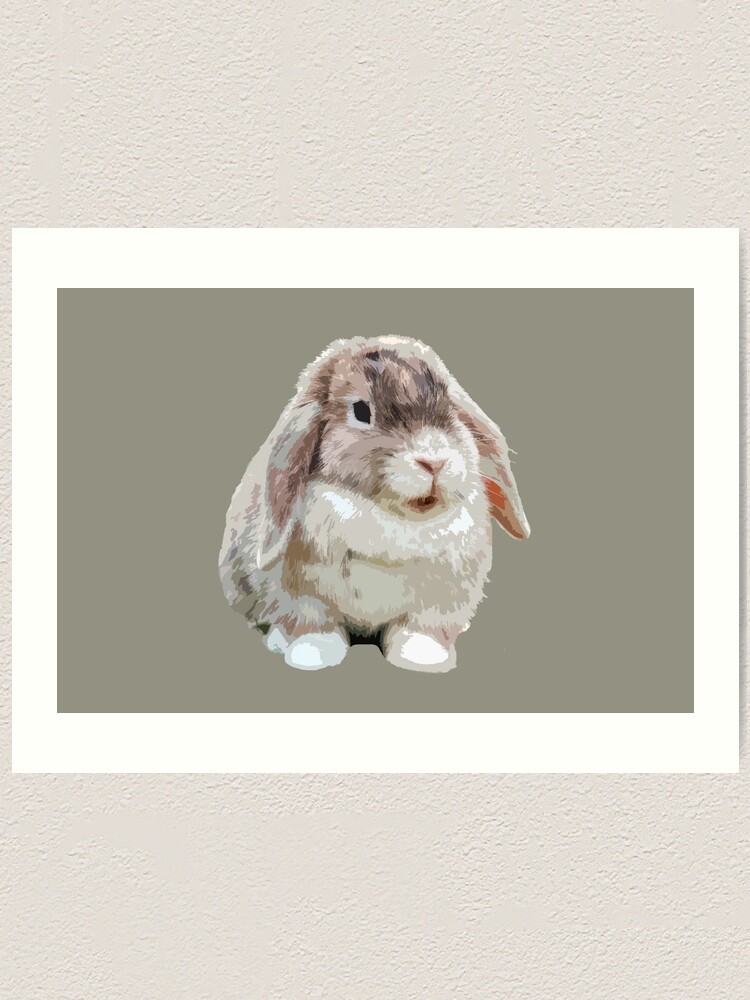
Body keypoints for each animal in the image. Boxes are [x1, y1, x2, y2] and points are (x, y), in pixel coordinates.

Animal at [219, 335, 530, 672]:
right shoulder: (302, 596)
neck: (392, 519)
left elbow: (420, 629)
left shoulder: (439, 602)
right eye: (361, 410)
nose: (434, 461)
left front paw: (423, 657)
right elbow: (313, 624)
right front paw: (312, 655)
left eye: (449, 406)